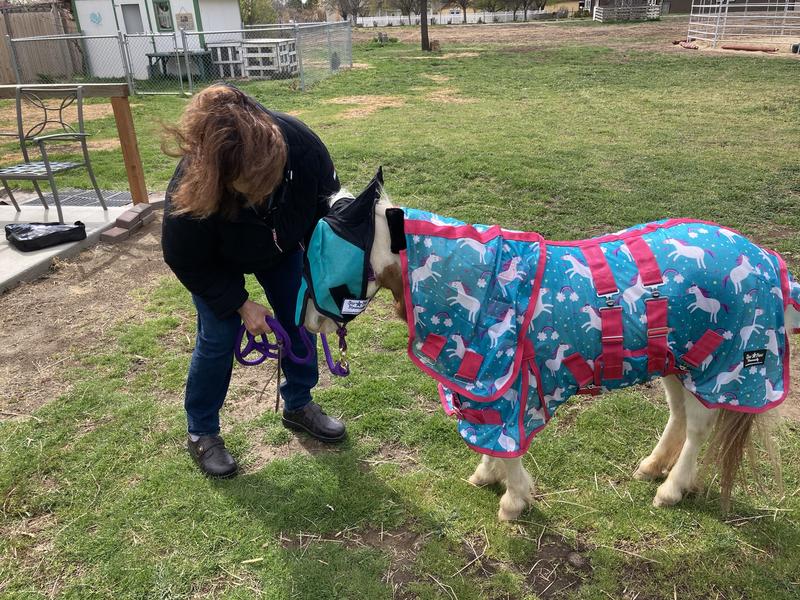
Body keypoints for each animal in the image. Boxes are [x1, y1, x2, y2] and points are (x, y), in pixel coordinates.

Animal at [297, 172, 800, 521]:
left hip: (718, 364)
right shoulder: (487, 390)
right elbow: (493, 438)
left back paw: (670, 489)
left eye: (329, 250)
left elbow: (511, 446)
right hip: (679, 361)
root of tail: (766, 260)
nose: (305, 319)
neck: (485, 285)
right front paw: (487, 475)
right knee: (679, 416)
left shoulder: (507, 386)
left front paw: (513, 500)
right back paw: (651, 467)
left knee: (697, 426)